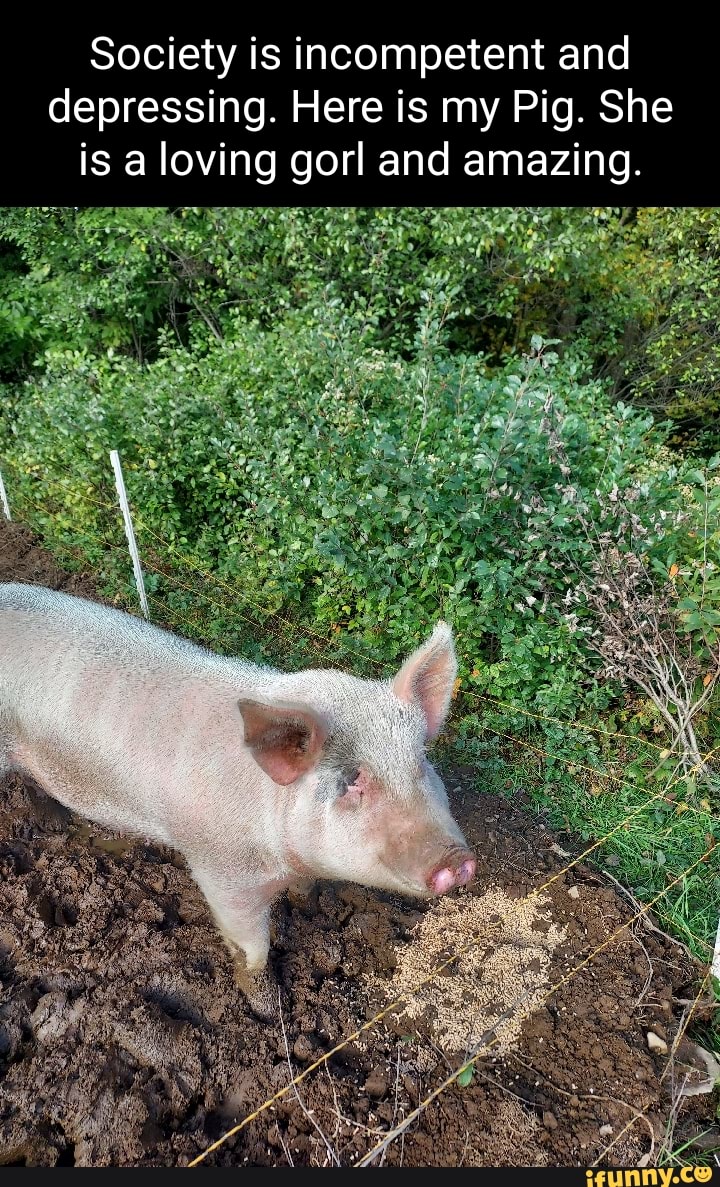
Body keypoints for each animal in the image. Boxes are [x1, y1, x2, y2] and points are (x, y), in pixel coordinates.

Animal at [0, 583, 475, 1017]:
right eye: (351, 781)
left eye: (421, 762)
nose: (457, 859)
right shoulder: (220, 869)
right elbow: (252, 949)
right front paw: (266, 1010)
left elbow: (304, 893)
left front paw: (310, 908)